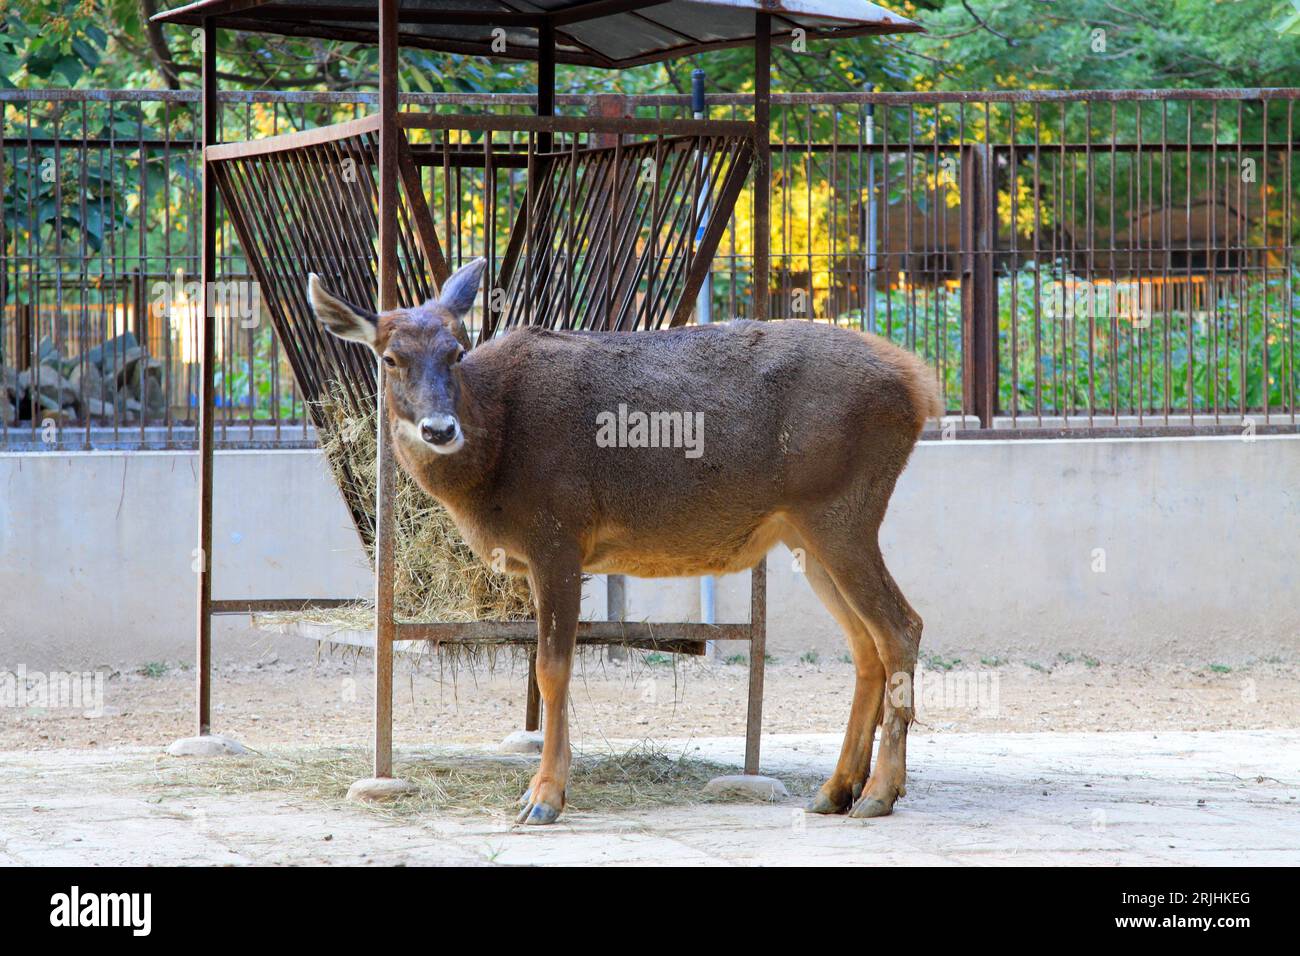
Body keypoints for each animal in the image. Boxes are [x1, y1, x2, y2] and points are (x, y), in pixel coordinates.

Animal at [309, 257, 940, 826]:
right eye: (390, 357)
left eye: (456, 352)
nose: (440, 429)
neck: (492, 462)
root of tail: (922, 386)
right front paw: (538, 790)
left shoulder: (558, 533)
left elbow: (552, 667)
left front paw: (544, 798)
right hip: (804, 530)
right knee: (864, 643)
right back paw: (836, 790)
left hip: (843, 510)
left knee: (901, 626)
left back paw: (879, 793)